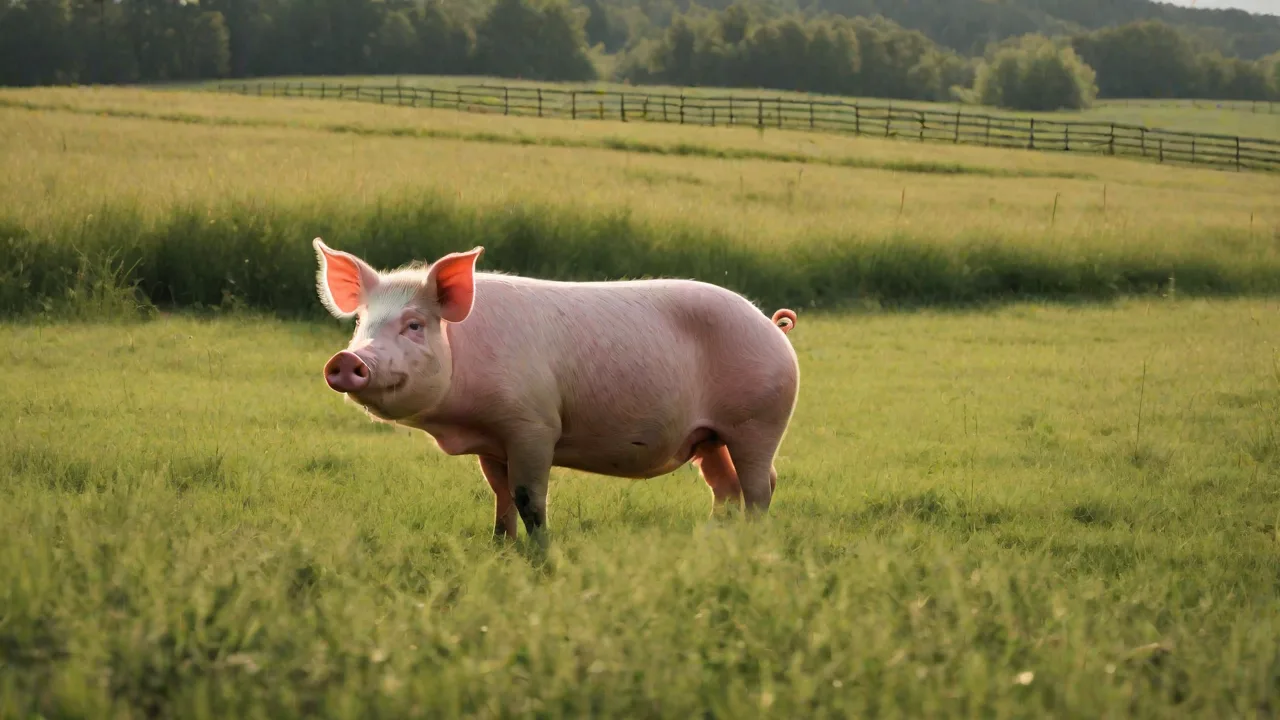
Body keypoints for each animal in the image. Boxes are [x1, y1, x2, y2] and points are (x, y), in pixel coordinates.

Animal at [312, 238, 800, 542]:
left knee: (760, 486)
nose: (348, 359)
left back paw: (751, 539)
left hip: (758, 421)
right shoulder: (493, 442)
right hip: (709, 437)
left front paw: (541, 555)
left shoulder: (533, 424)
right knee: (726, 487)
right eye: (362, 322)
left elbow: (529, 497)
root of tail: (773, 327)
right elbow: (500, 494)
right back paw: (713, 536)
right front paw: (499, 547)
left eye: (413, 325)